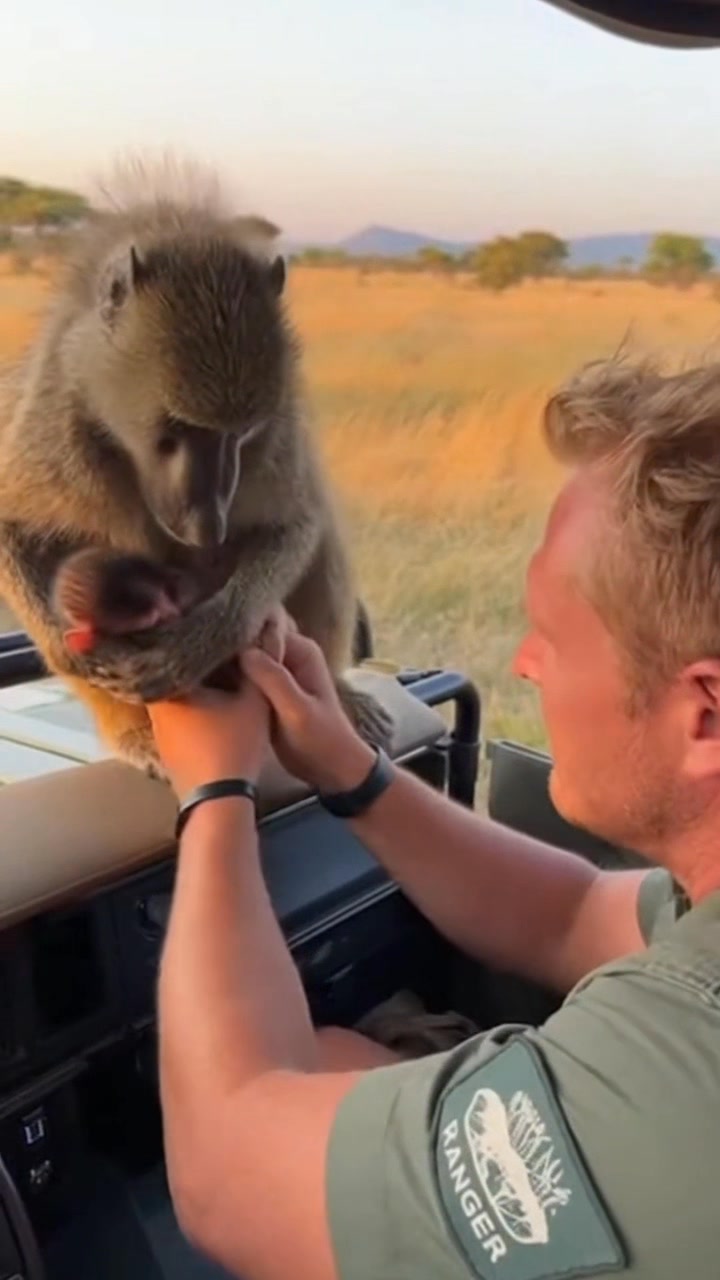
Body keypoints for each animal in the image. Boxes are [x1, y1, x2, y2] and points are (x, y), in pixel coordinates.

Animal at [0, 155, 393, 780]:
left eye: (241, 432)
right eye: (178, 431)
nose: (210, 527)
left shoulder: (280, 427)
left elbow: (297, 522)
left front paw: (204, 642)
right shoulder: (54, 430)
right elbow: (15, 530)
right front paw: (65, 644)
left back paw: (335, 693)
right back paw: (133, 731)